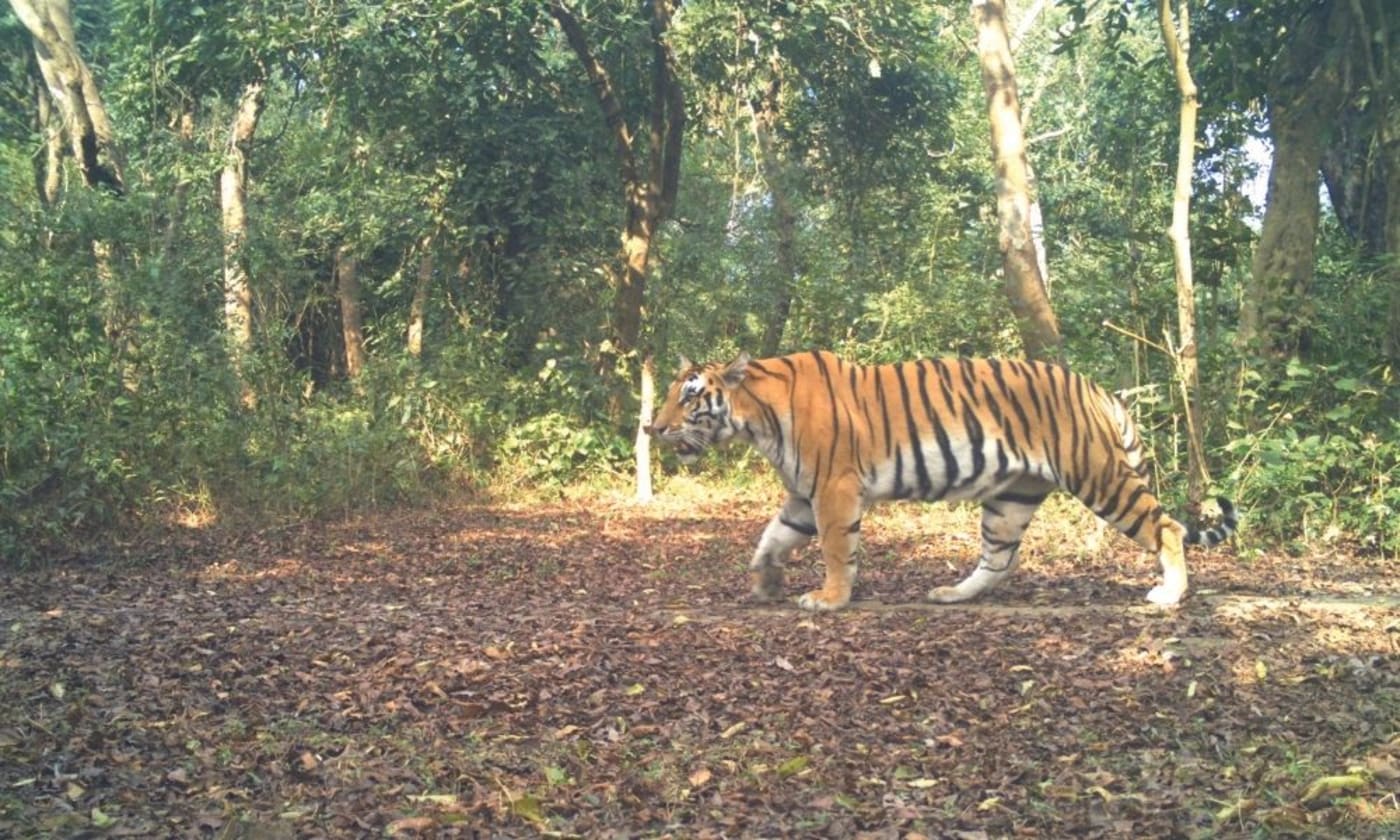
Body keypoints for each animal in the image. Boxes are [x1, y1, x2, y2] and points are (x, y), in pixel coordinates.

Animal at [646, 350, 1237, 611]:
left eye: (689, 395)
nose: (652, 428)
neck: (757, 418)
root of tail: (1096, 388)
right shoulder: (801, 493)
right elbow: (771, 538)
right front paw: (766, 581)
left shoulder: (834, 489)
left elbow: (836, 550)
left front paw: (829, 599)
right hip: (1011, 497)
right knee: (1000, 559)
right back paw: (952, 594)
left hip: (1097, 475)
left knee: (1166, 528)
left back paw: (1170, 593)